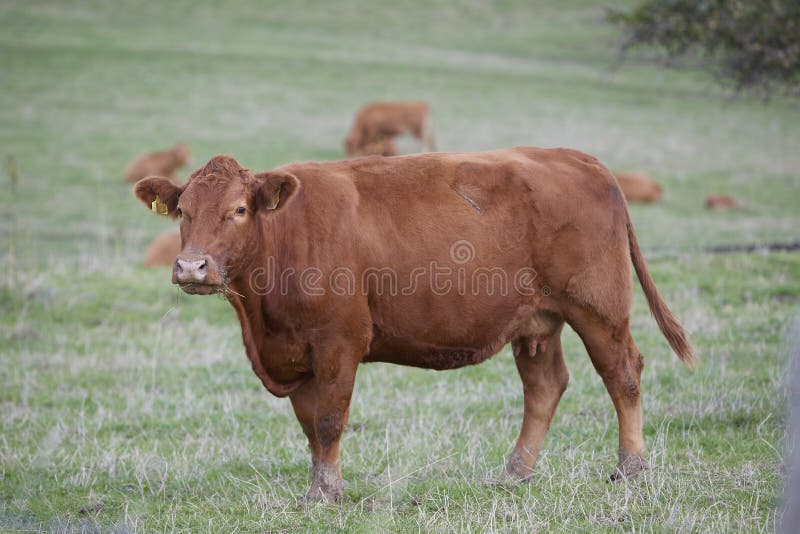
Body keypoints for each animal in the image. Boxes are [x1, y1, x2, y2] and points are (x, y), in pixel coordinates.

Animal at [133, 148, 693, 503]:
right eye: (182, 211)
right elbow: (309, 426)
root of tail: (581, 159)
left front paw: (327, 493)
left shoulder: (339, 343)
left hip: (598, 308)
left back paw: (631, 467)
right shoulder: (296, 355)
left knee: (623, 374)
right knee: (545, 386)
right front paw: (318, 486)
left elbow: (330, 420)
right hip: (537, 321)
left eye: (239, 210)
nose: (191, 267)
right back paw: (514, 474)